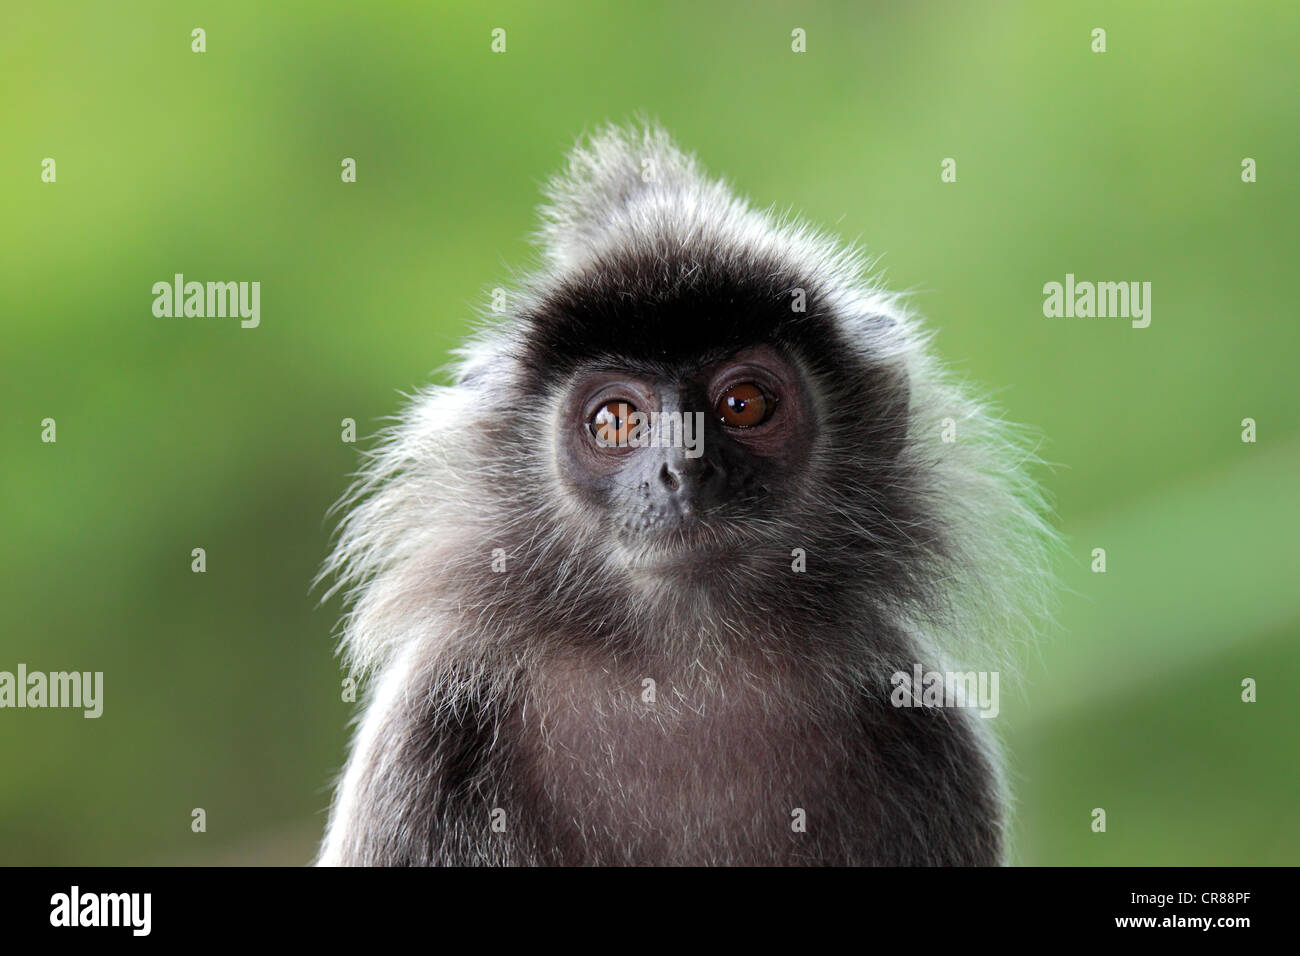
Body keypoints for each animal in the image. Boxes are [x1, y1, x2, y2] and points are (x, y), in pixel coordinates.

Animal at [316, 123, 1054, 866]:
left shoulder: (927, 730)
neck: (684, 665)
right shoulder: (429, 721)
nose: (684, 469)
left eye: (744, 403)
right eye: (615, 420)